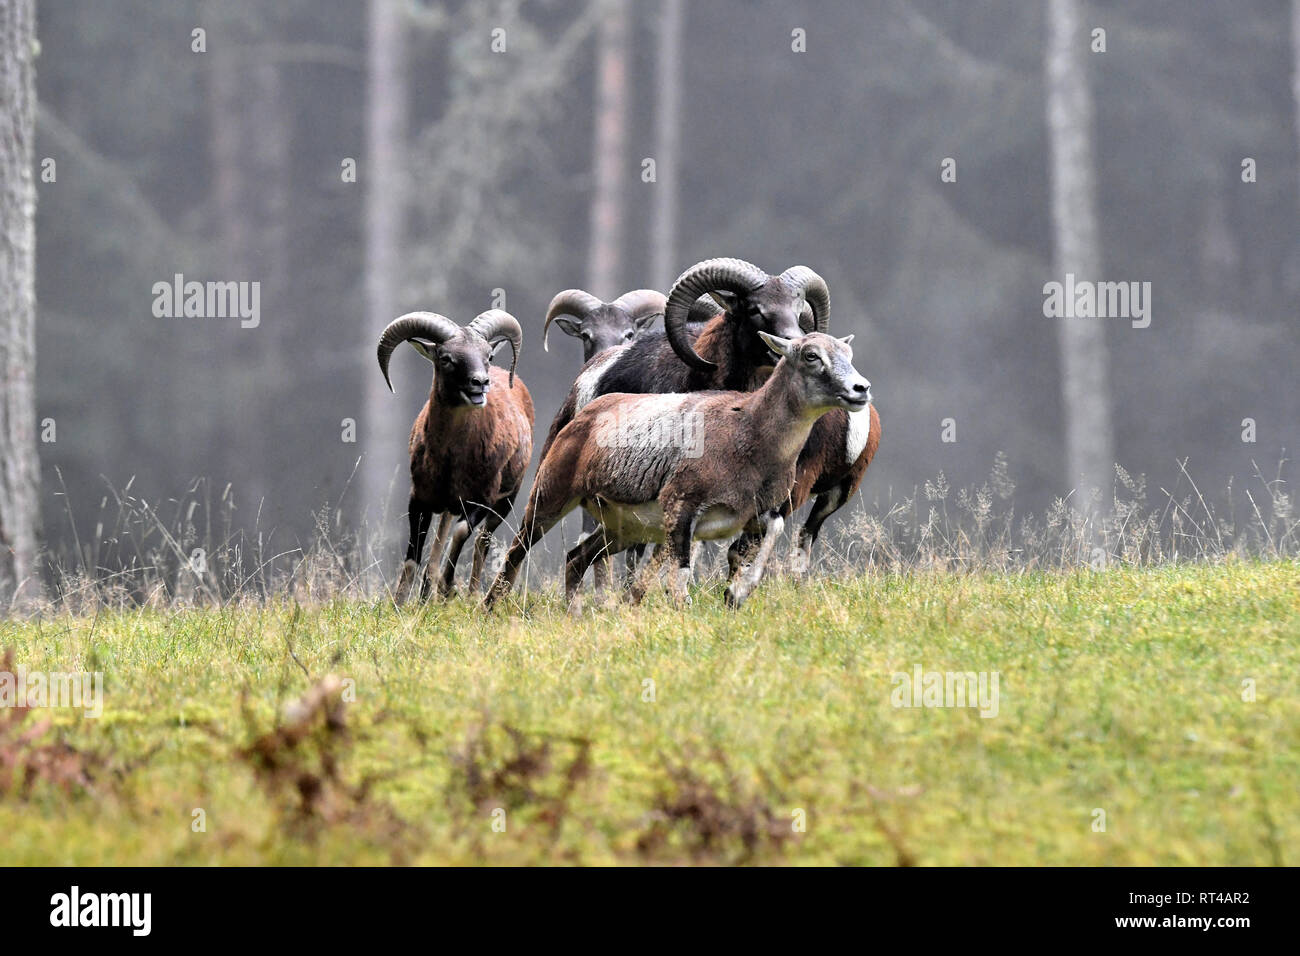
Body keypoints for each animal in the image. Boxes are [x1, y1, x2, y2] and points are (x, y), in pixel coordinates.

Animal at [376, 309, 533, 602]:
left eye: (488, 355)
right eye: (446, 358)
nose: (480, 383)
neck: (452, 460)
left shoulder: (480, 500)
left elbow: (461, 534)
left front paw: (448, 588)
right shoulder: (420, 499)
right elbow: (413, 556)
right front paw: (400, 603)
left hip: (506, 500)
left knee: (482, 540)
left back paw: (470, 595)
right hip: (448, 506)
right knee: (439, 543)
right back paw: (427, 594)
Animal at [483, 331, 871, 612]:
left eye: (848, 354)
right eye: (811, 356)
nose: (861, 389)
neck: (746, 433)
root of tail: (585, 413)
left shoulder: (762, 513)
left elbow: (769, 537)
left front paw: (736, 594)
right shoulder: (681, 508)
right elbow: (681, 576)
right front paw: (685, 611)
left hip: (623, 527)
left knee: (577, 558)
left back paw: (574, 614)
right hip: (551, 495)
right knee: (517, 551)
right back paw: (488, 610)